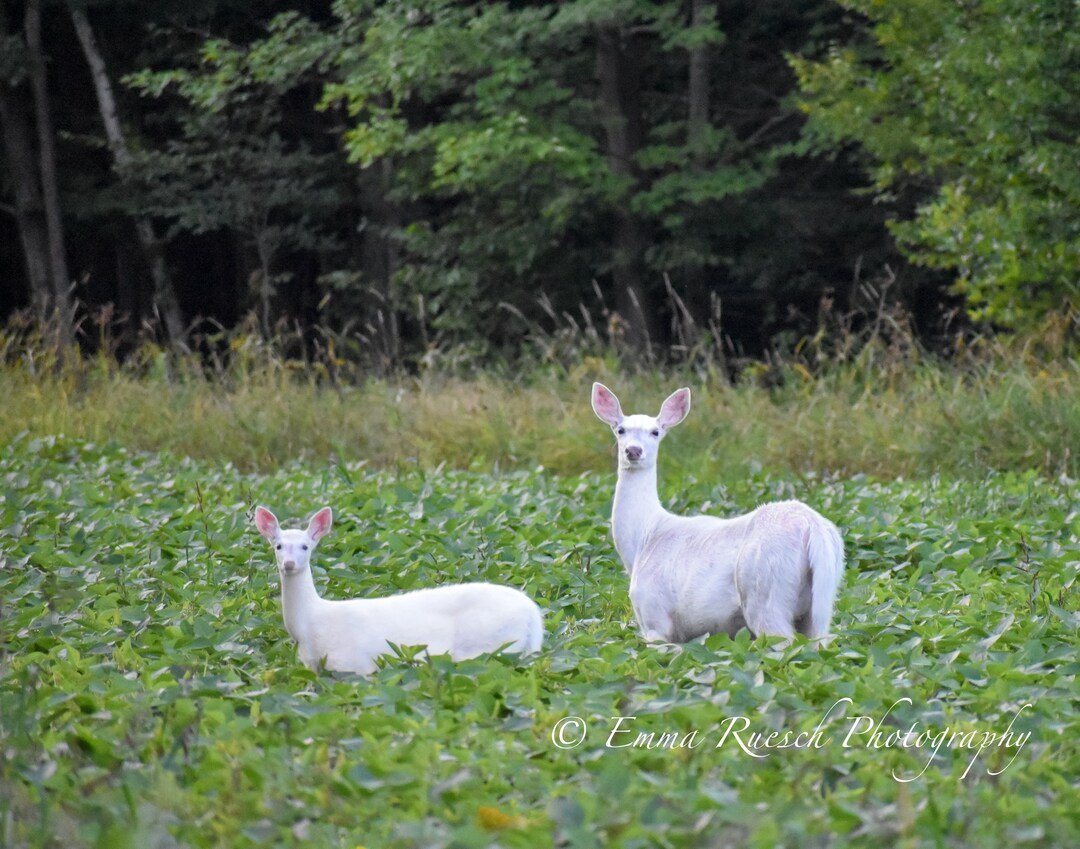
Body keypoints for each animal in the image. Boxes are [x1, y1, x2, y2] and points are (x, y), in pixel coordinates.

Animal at [254, 506, 544, 674]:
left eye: (305, 546)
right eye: (278, 546)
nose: (289, 564)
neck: (309, 625)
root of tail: (534, 615)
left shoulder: (354, 666)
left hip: (492, 648)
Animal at [590, 382, 844, 645]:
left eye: (655, 432)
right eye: (620, 430)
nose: (633, 450)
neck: (644, 538)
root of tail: (814, 528)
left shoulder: (654, 617)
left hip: (766, 589)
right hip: (821, 603)